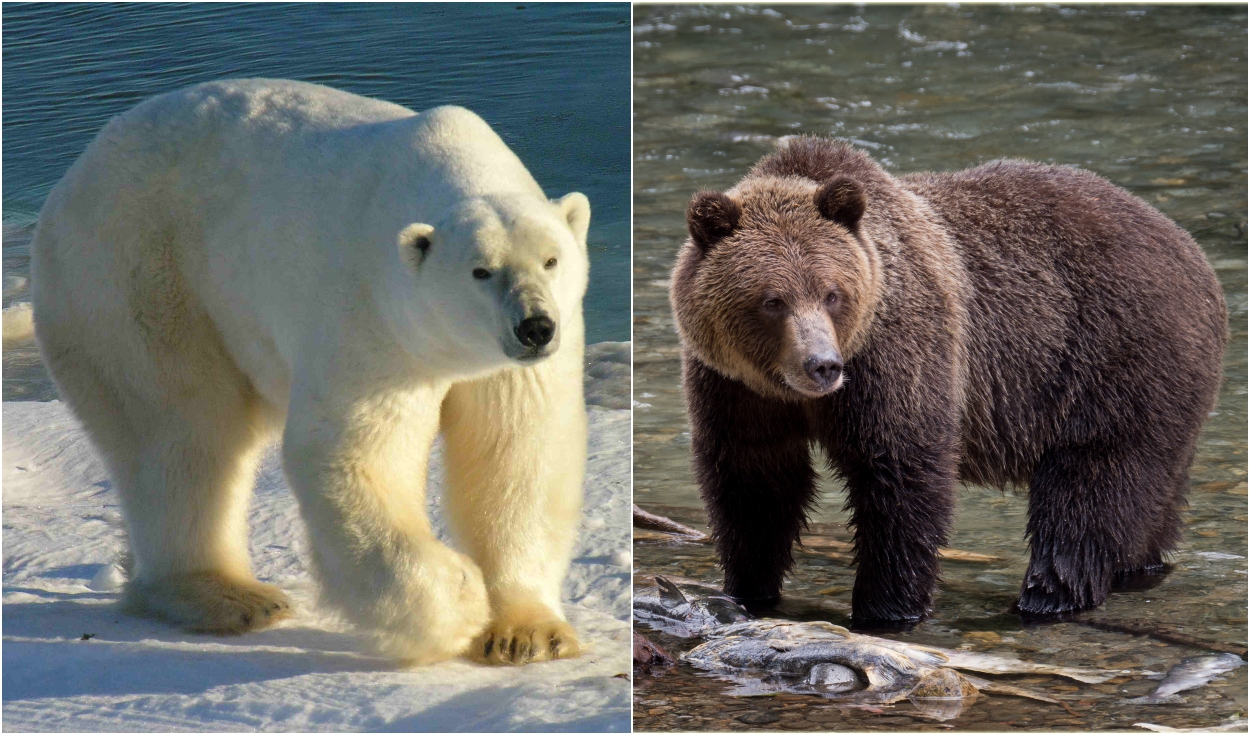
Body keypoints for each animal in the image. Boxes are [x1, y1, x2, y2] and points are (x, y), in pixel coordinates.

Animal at [31, 79, 591, 665]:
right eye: (481, 271)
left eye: (551, 260)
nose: (535, 327)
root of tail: (71, 179)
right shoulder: (374, 319)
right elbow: (354, 452)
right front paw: (459, 601)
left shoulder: (517, 363)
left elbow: (519, 452)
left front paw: (527, 634)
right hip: (135, 275)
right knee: (181, 429)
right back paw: (230, 596)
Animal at [670, 136, 1227, 623]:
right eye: (772, 300)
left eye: (831, 293)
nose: (822, 365)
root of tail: (1194, 256)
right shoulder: (736, 387)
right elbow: (755, 481)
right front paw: (748, 588)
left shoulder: (895, 353)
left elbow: (900, 472)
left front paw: (886, 608)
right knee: (1151, 498)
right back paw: (1137, 568)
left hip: (1115, 358)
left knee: (1090, 485)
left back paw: (1048, 596)